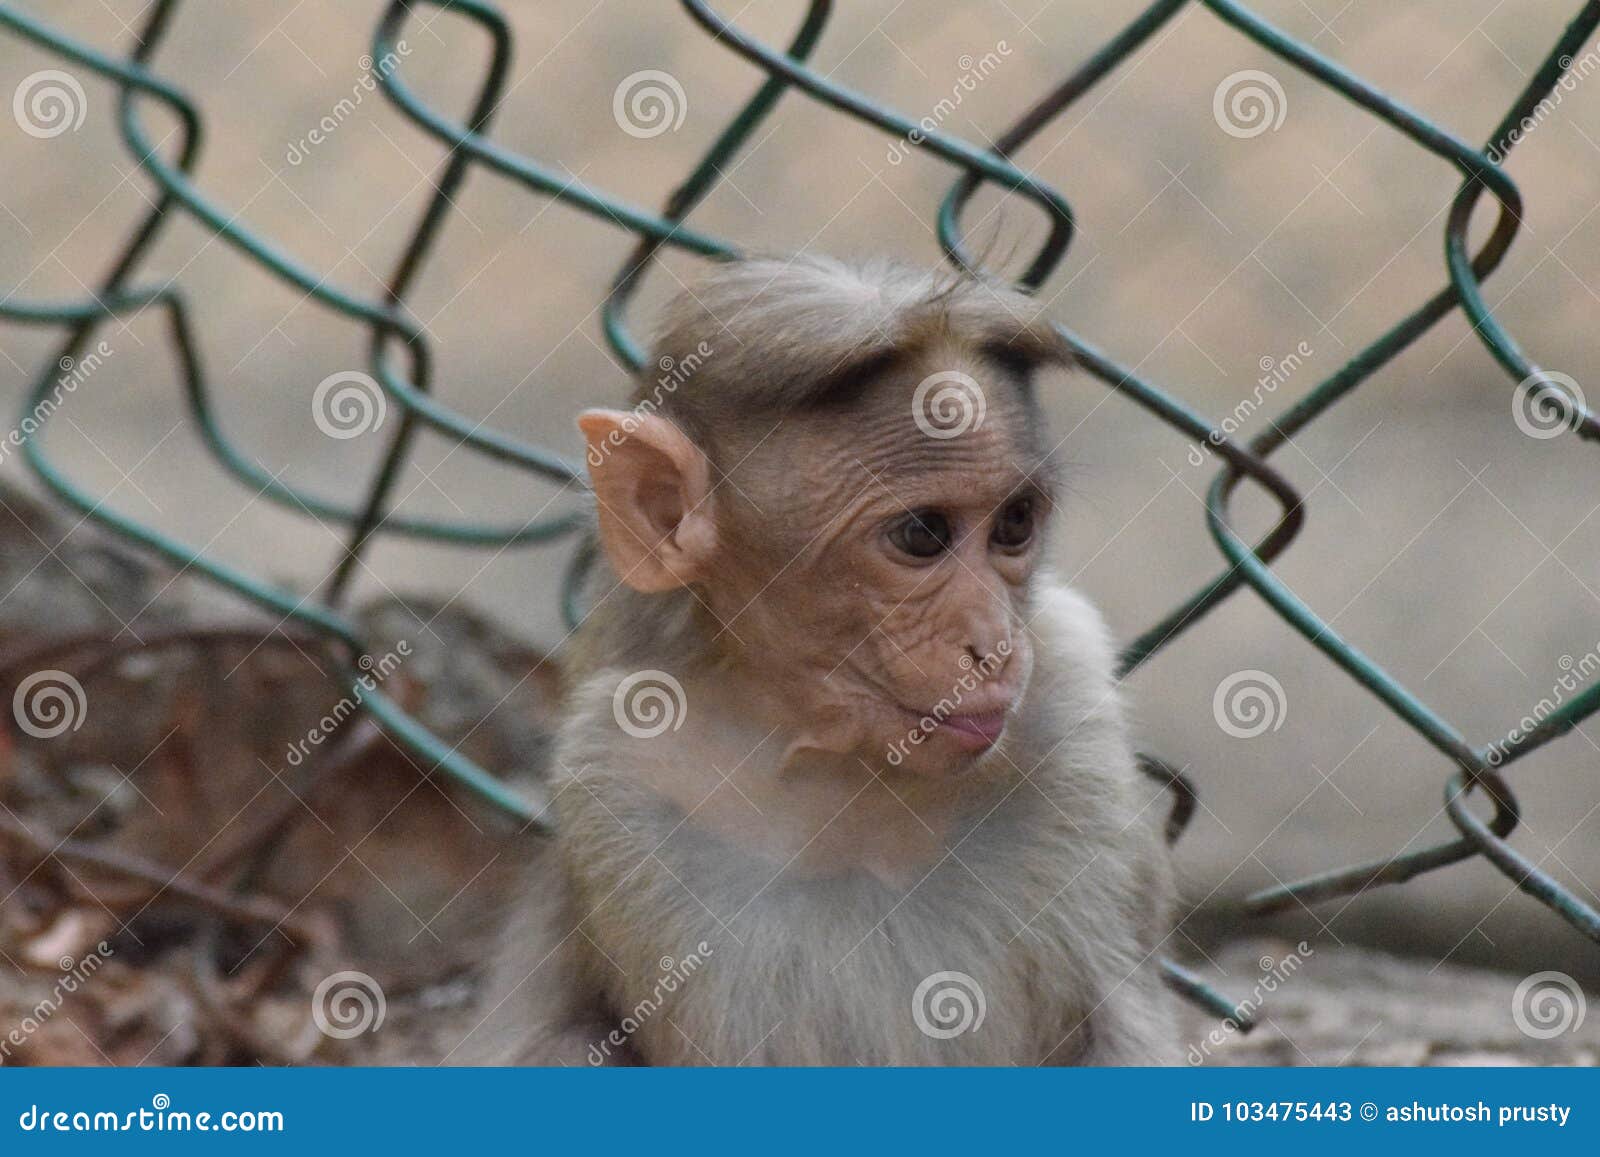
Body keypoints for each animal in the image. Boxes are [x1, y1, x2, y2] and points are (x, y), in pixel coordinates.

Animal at [462, 254, 1178, 1066]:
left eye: (1015, 523)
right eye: (923, 534)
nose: (996, 644)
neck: (835, 759)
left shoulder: (1070, 690)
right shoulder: (615, 766)